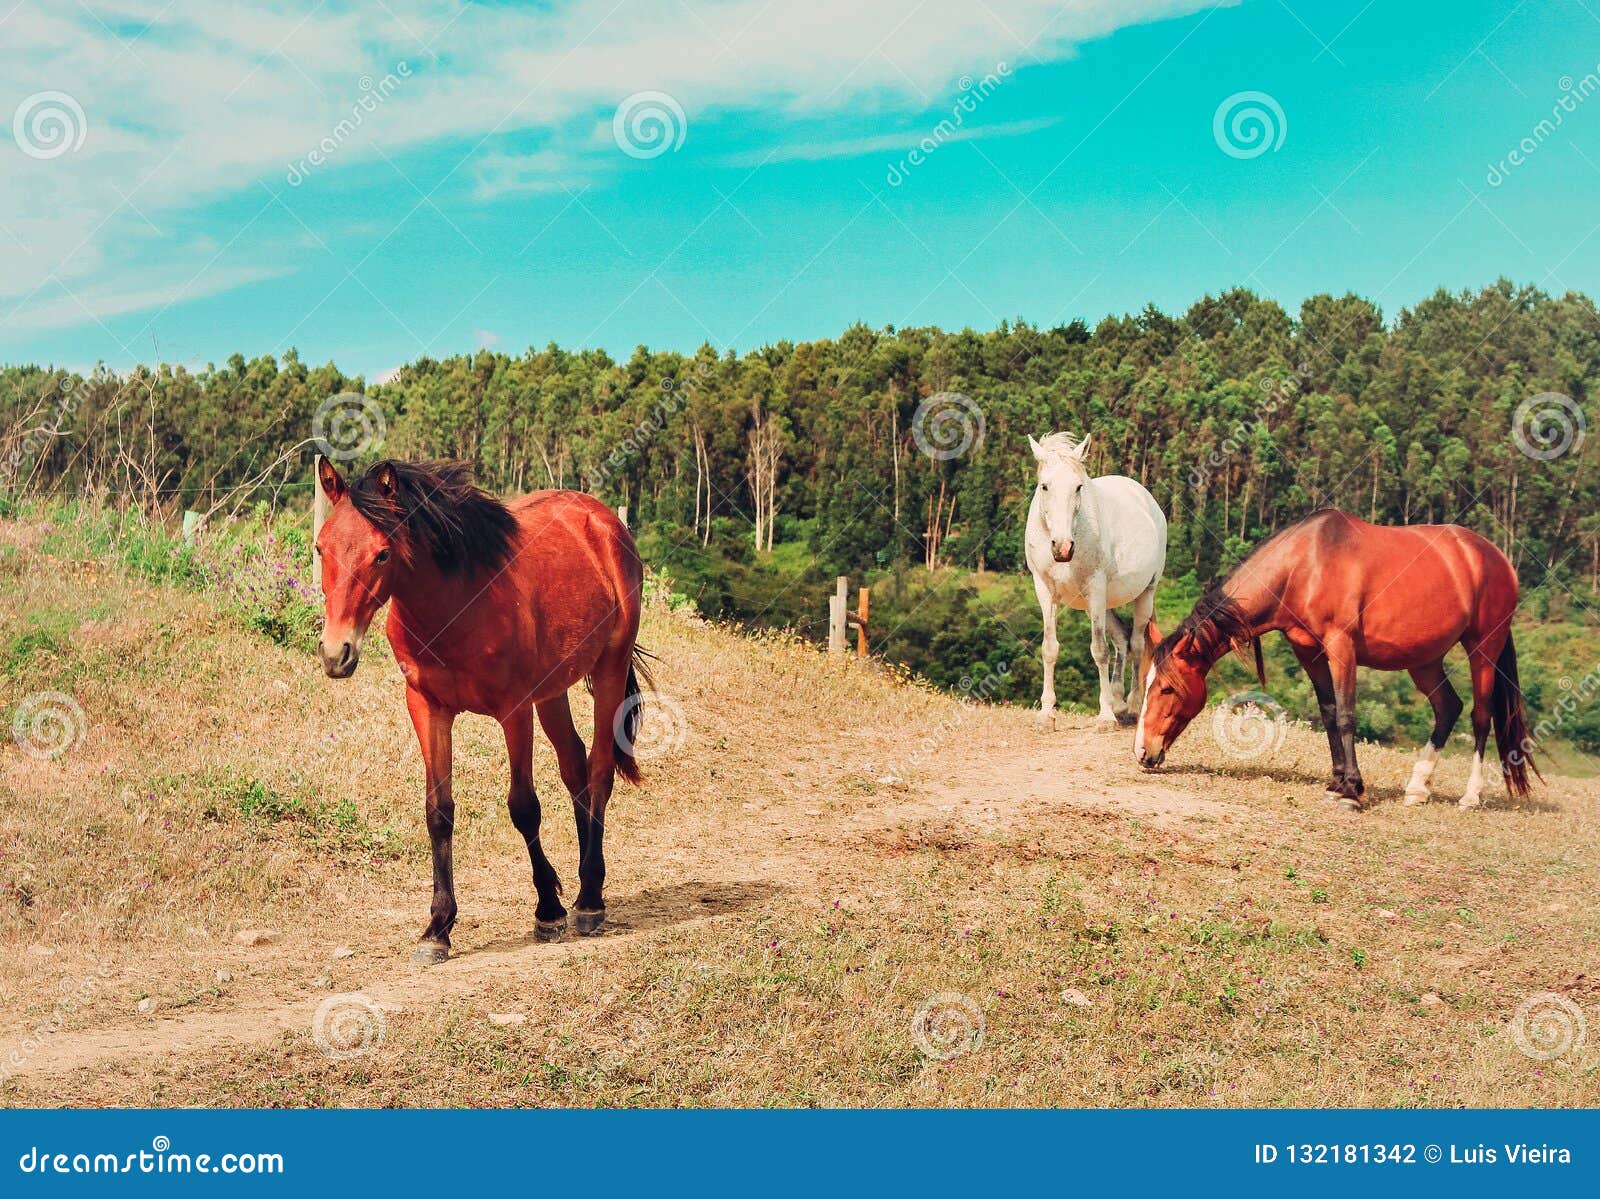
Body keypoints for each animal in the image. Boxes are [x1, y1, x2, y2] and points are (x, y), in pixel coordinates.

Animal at [314, 457, 651, 962]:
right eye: (320, 548)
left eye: (382, 554)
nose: (337, 653)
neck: (457, 605)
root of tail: (604, 522)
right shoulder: (427, 708)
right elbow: (438, 812)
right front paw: (437, 927)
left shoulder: (514, 711)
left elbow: (524, 807)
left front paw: (548, 910)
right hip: (552, 693)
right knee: (575, 768)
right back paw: (583, 887)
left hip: (608, 670)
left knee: (599, 772)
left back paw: (589, 899)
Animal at [1024, 433, 1168, 729]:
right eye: (1044, 486)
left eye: (1078, 487)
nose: (1063, 548)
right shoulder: (1045, 591)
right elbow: (1049, 648)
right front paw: (1046, 714)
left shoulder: (1095, 588)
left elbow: (1099, 650)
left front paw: (1105, 716)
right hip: (1102, 606)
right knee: (1122, 641)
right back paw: (1119, 703)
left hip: (1143, 594)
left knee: (1137, 645)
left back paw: (1132, 707)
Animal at [1135, 509, 1538, 811]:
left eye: (1168, 688)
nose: (1142, 751)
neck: (1304, 566)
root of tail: (1493, 555)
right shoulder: (1309, 652)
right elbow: (1328, 712)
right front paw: (1336, 781)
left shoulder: (1341, 647)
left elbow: (1346, 716)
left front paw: (1352, 790)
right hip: (1424, 660)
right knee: (1447, 708)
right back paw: (1417, 787)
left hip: (1483, 648)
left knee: (1480, 716)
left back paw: (1471, 796)